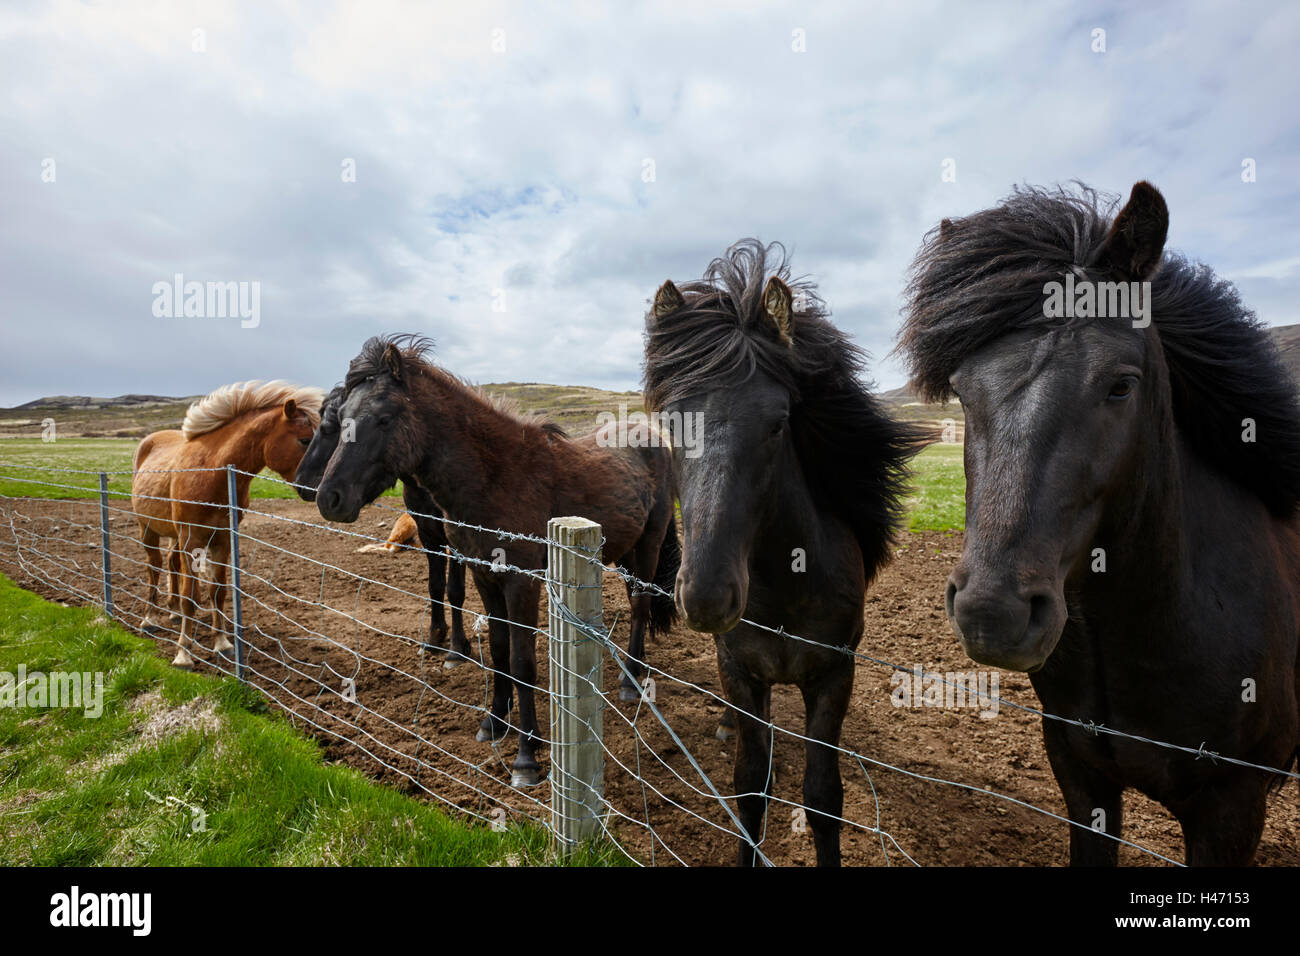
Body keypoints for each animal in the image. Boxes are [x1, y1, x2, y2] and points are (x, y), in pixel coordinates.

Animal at [132, 380, 324, 669]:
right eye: (304, 440)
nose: (318, 489)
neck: (211, 471)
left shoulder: (221, 539)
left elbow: (217, 591)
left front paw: (222, 643)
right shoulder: (192, 540)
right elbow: (192, 596)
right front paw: (183, 653)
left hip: (174, 535)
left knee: (171, 563)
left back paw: (173, 612)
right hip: (148, 529)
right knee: (153, 567)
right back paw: (149, 619)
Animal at [293, 385, 470, 665]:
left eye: (331, 427)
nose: (301, 483)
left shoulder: (455, 542)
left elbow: (454, 590)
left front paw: (456, 648)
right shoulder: (428, 534)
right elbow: (435, 585)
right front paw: (434, 638)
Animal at [313, 337, 680, 787]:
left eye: (383, 418)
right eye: (341, 418)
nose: (329, 498)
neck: (497, 476)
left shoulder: (522, 583)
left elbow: (522, 663)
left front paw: (527, 757)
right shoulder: (484, 576)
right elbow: (501, 652)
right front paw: (494, 723)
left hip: (649, 545)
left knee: (640, 605)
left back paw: (630, 681)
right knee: (635, 603)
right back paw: (637, 668)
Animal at [643, 239, 927, 866]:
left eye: (778, 424)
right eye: (671, 423)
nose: (706, 597)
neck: (783, 588)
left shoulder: (832, 676)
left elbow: (823, 798)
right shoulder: (741, 671)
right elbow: (751, 786)